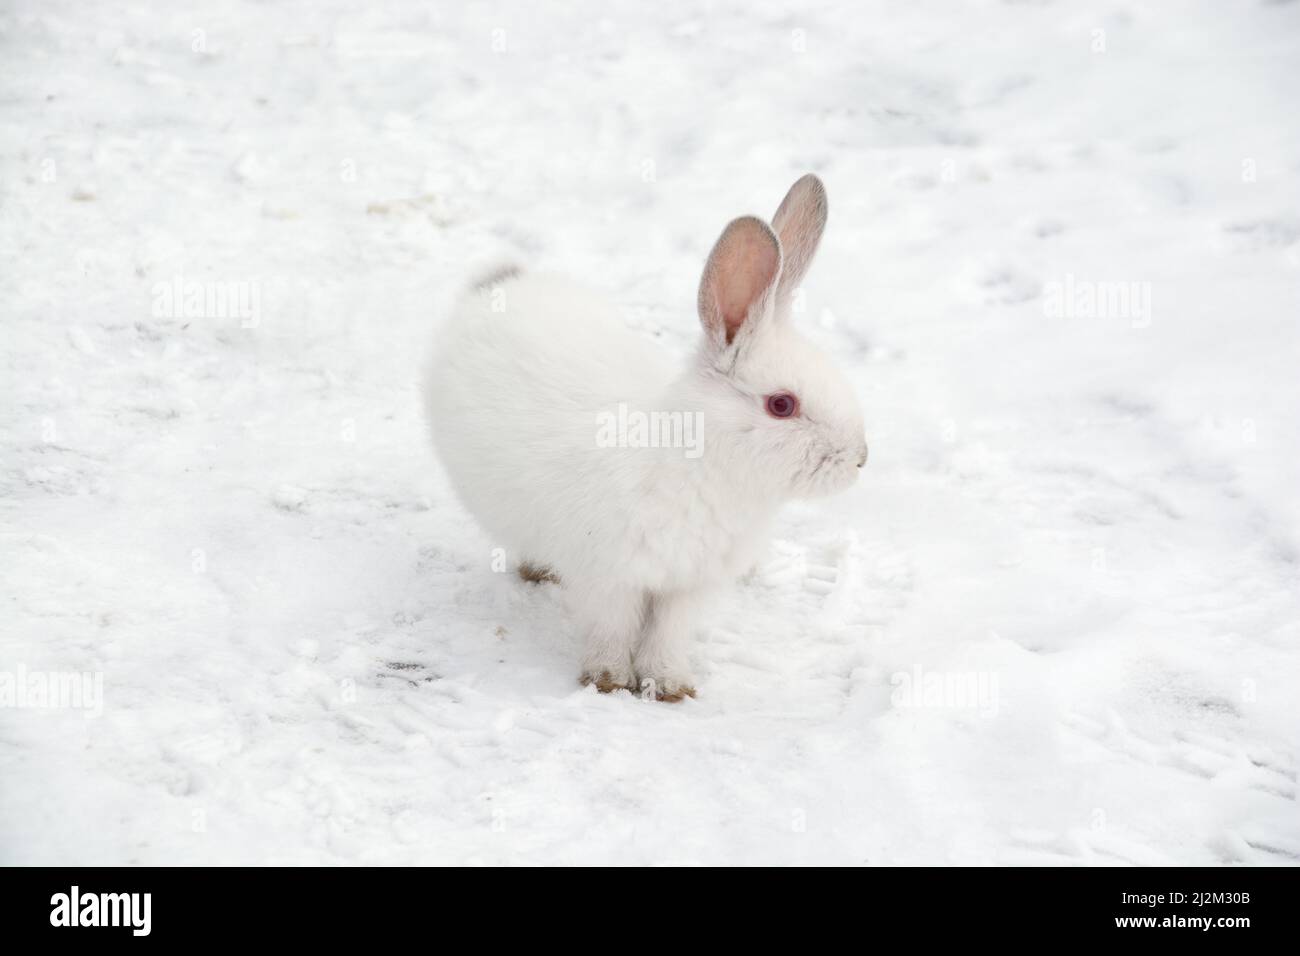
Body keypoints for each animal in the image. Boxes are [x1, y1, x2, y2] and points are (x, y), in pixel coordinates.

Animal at [425, 174, 867, 701]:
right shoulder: (610, 576)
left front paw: (672, 687)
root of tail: (498, 284)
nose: (859, 458)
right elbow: (613, 629)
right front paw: (609, 681)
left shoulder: (687, 589)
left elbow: (667, 636)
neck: (700, 458)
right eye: (782, 405)